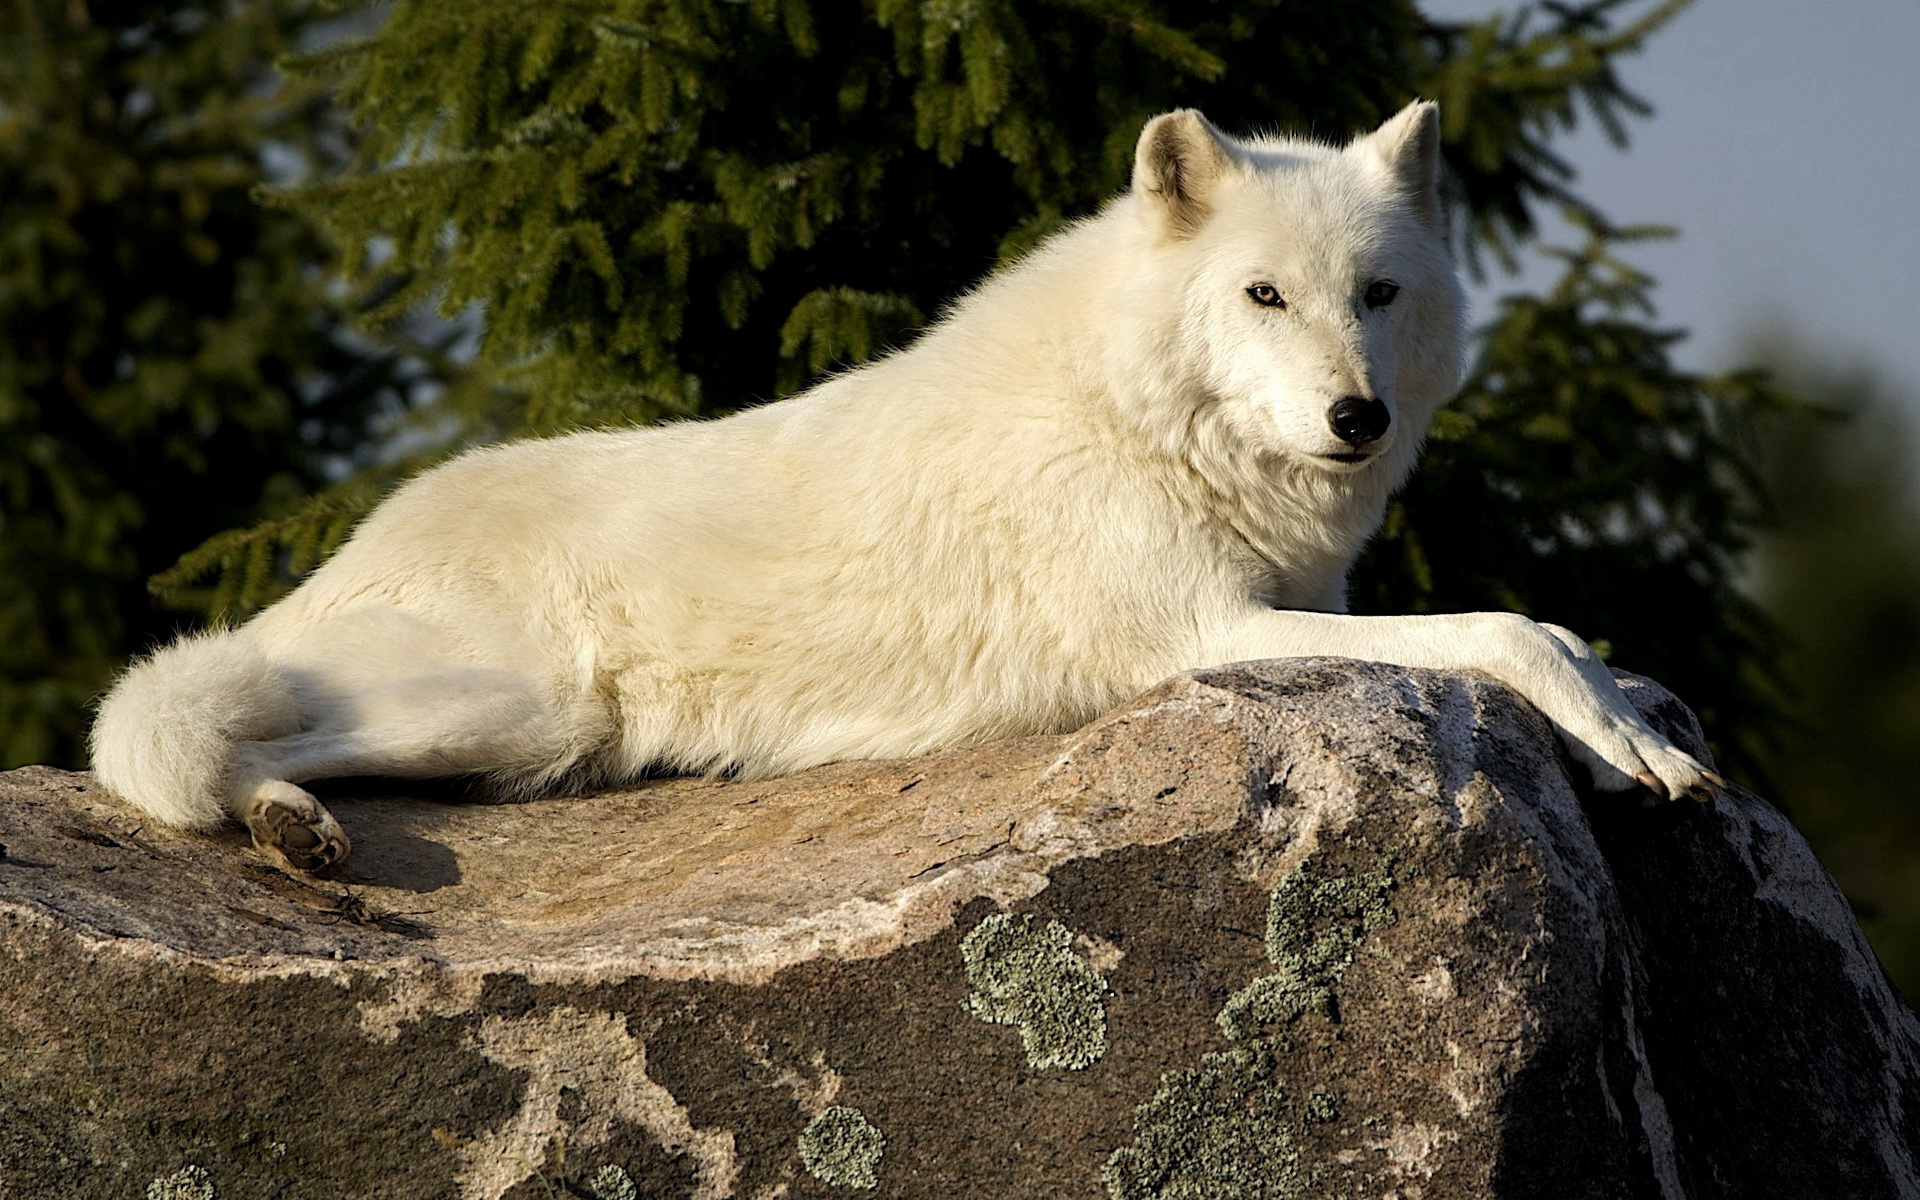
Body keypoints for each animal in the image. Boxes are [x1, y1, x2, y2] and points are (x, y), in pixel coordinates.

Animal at [90, 102, 1719, 872]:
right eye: (1263, 295)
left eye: (1376, 295)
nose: (1355, 417)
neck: (1136, 420)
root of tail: (350, 545)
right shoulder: (1201, 638)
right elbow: (1505, 630)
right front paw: (1632, 734)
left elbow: (1554, 630)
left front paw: (1639, 718)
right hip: (522, 709)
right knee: (168, 745)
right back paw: (287, 828)